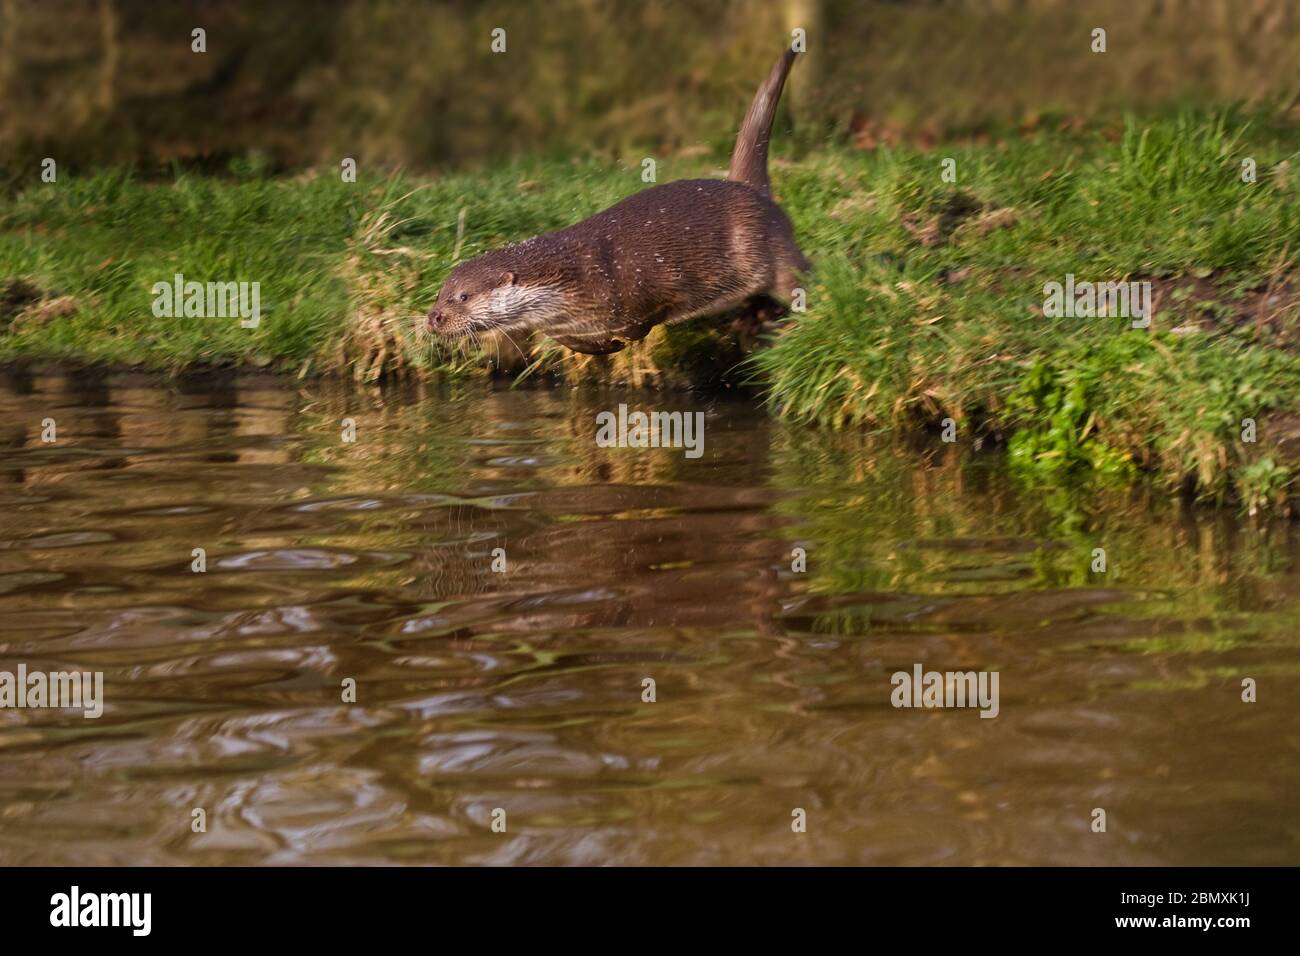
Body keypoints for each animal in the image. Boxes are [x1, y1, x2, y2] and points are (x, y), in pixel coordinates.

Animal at [426, 47, 810, 355]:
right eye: (440, 293)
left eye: (462, 297)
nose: (433, 317)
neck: (570, 285)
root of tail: (750, 190)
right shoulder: (557, 324)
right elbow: (571, 341)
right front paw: (601, 347)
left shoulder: (642, 285)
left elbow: (645, 319)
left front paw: (625, 339)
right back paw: (753, 318)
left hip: (768, 246)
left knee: (800, 276)